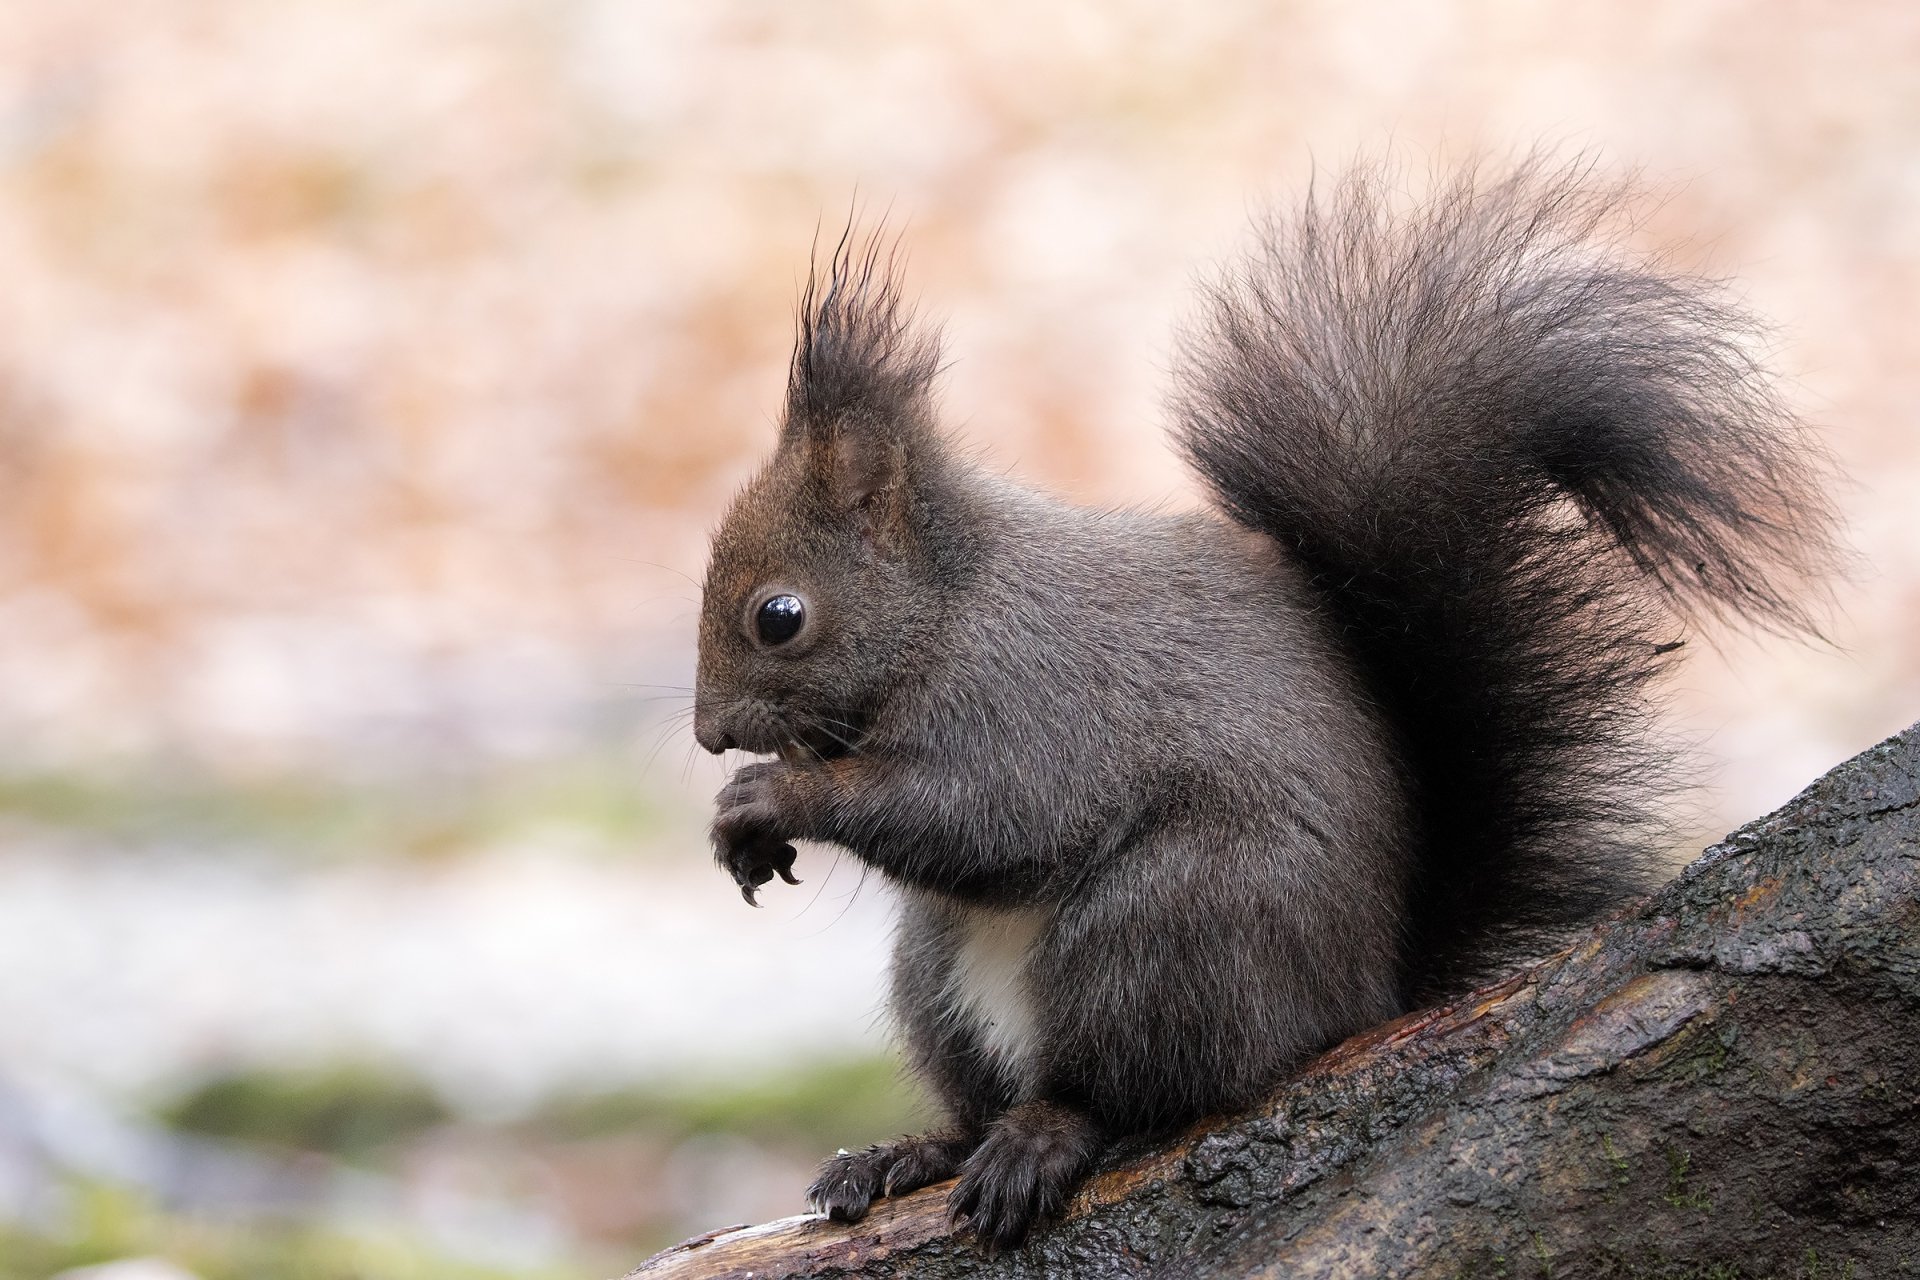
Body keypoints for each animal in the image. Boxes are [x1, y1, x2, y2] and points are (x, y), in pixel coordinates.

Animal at [690, 159, 1838, 1251]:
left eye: (779, 616)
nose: (708, 734)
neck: (947, 601)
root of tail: (1367, 995)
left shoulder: (1030, 696)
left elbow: (990, 819)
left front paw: (773, 798)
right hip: (940, 973)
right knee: (981, 1094)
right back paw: (910, 1153)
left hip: (1167, 929)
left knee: (1132, 1090)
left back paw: (1043, 1133)